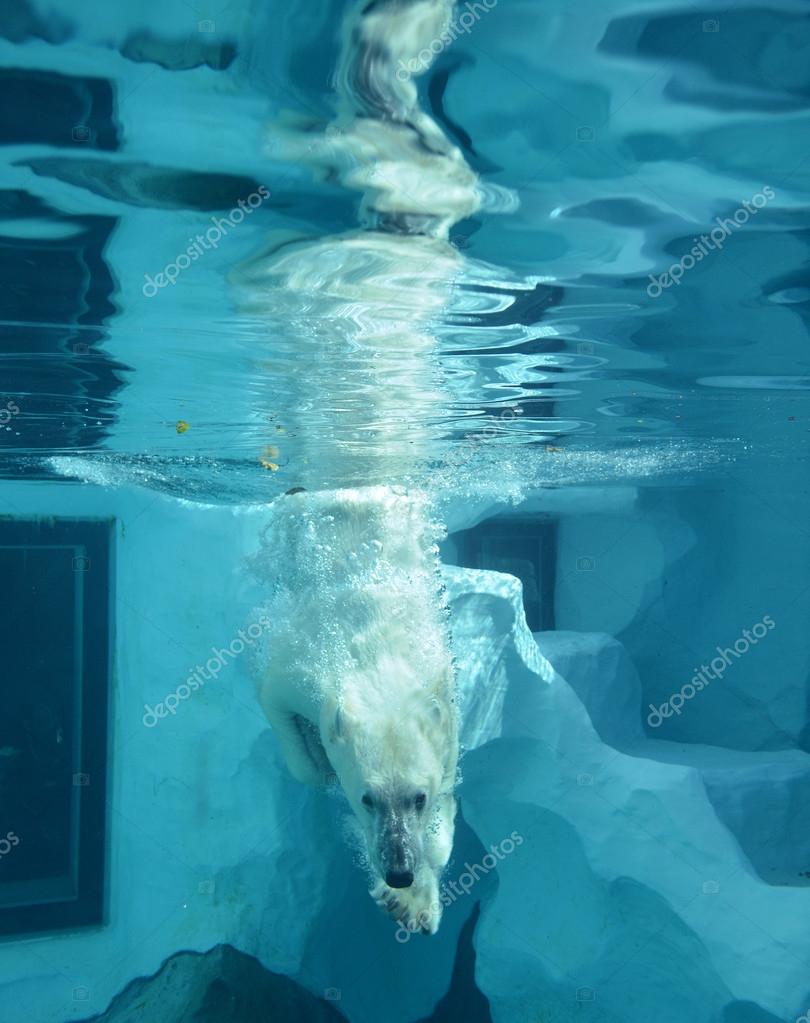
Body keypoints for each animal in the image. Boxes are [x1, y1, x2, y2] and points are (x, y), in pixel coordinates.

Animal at [251, 485, 458, 935]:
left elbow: (448, 777)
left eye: (419, 798)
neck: (383, 659)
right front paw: (320, 763)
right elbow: (274, 697)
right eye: (367, 798)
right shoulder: (307, 668)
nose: (399, 872)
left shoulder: (442, 686)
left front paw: (414, 900)